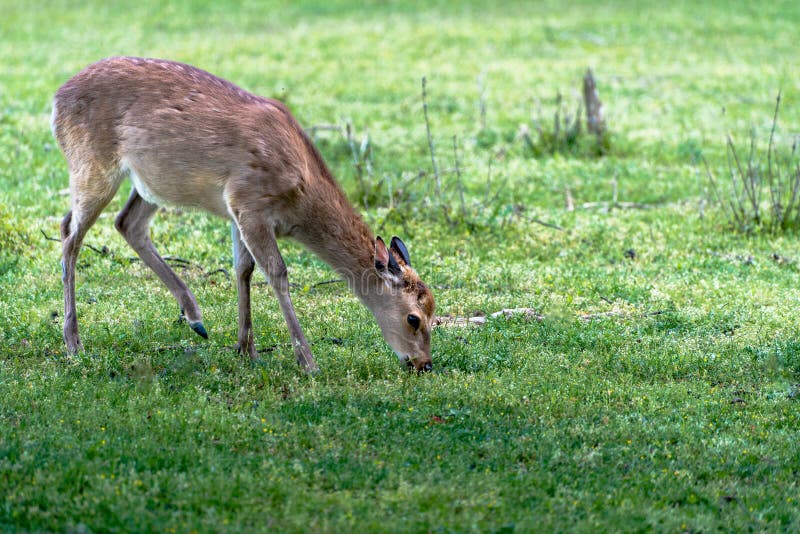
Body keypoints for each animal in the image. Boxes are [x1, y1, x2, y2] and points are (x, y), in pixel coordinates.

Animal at [51, 57, 435, 373]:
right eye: (413, 318)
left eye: (434, 310)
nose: (424, 364)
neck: (301, 196)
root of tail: (55, 100)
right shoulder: (250, 202)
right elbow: (277, 273)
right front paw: (307, 361)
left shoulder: (237, 211)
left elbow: (243, 269)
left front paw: (246, 349)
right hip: (92, 164)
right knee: (71, 236)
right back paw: (73, 343)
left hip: (153, 181)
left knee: (124, 222)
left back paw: (196, 319)